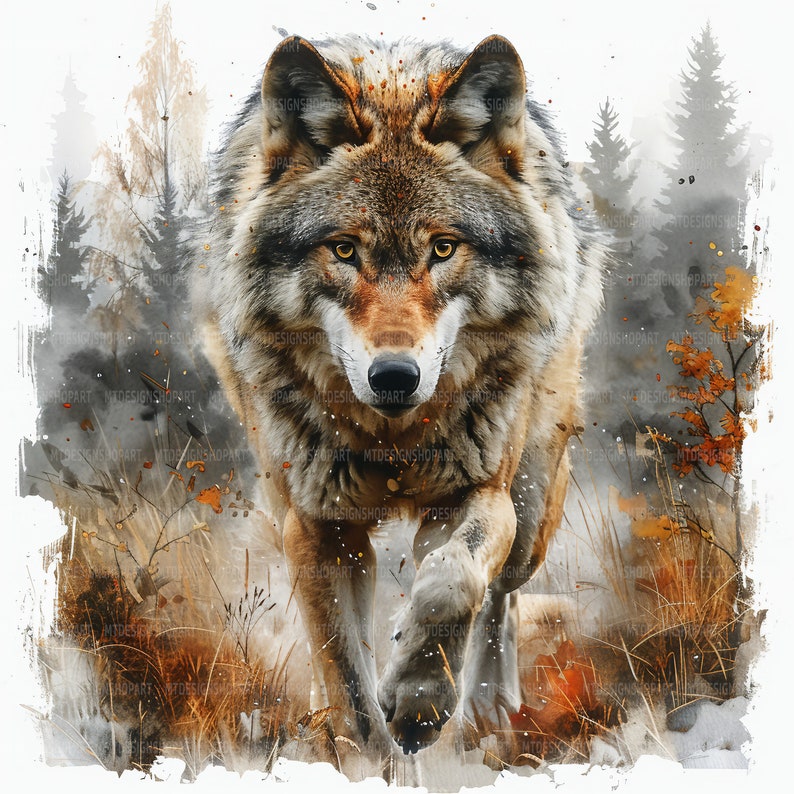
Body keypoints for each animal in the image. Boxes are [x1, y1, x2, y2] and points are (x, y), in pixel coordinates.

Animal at [195, 33, 604, 757]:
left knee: (502, 595)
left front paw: (419, 700)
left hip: (531, 502)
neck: (393, 443)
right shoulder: (318, 530)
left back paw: (489, 708)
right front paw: (370, 750)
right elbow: (348, 686)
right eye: (344, 250)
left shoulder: (476, 495)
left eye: (442, 248)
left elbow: (451, 583)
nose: (394, 376)